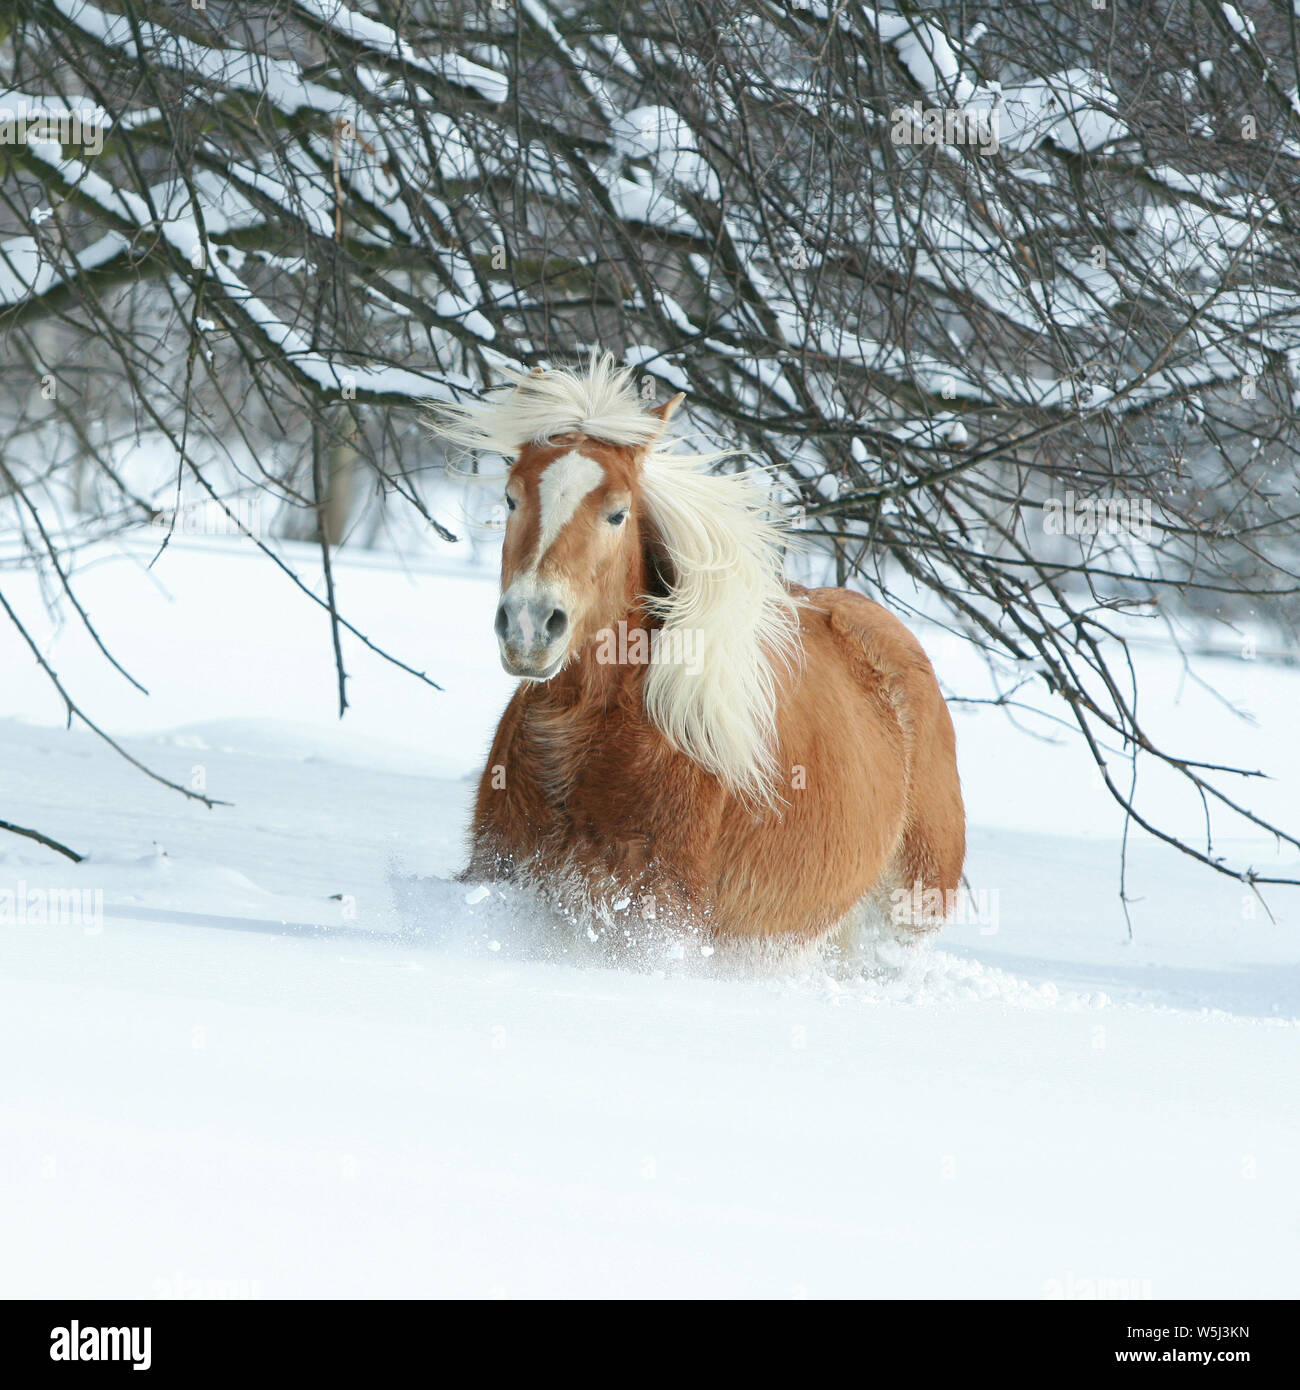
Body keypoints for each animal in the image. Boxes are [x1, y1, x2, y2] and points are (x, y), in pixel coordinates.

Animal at [432, 354, 964, 957]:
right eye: (511, 498)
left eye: (617, 514)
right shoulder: (501, 872)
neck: (586, 733)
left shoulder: (655, 920)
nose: (529, 625)